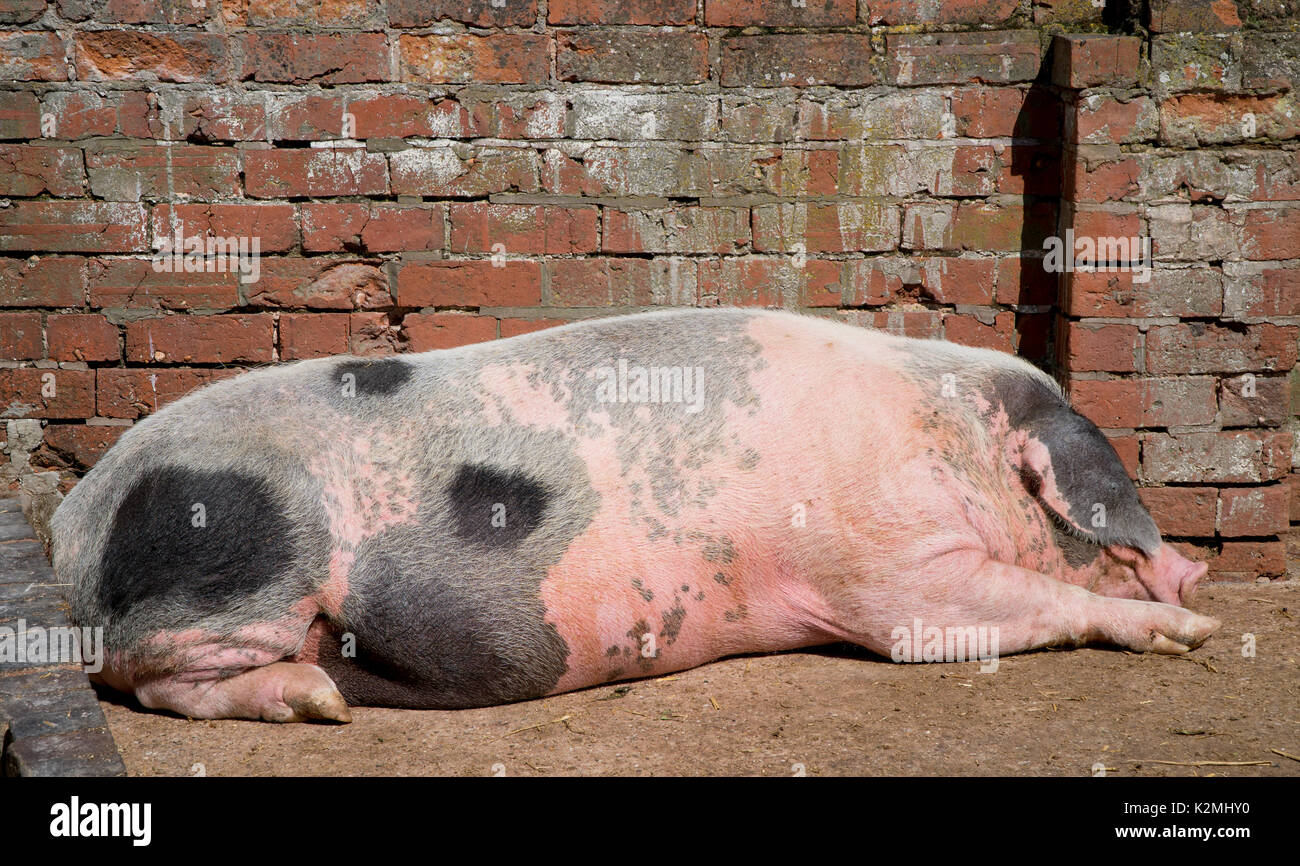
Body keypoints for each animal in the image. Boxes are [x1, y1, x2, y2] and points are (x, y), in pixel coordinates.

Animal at [52, 308, 1220, 723]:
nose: (1198, 569)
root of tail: (70, 528)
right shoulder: (895, 576)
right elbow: (1013, 599)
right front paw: (1194, 633)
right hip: (235, 564)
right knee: (154, 678)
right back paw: (317, 703)